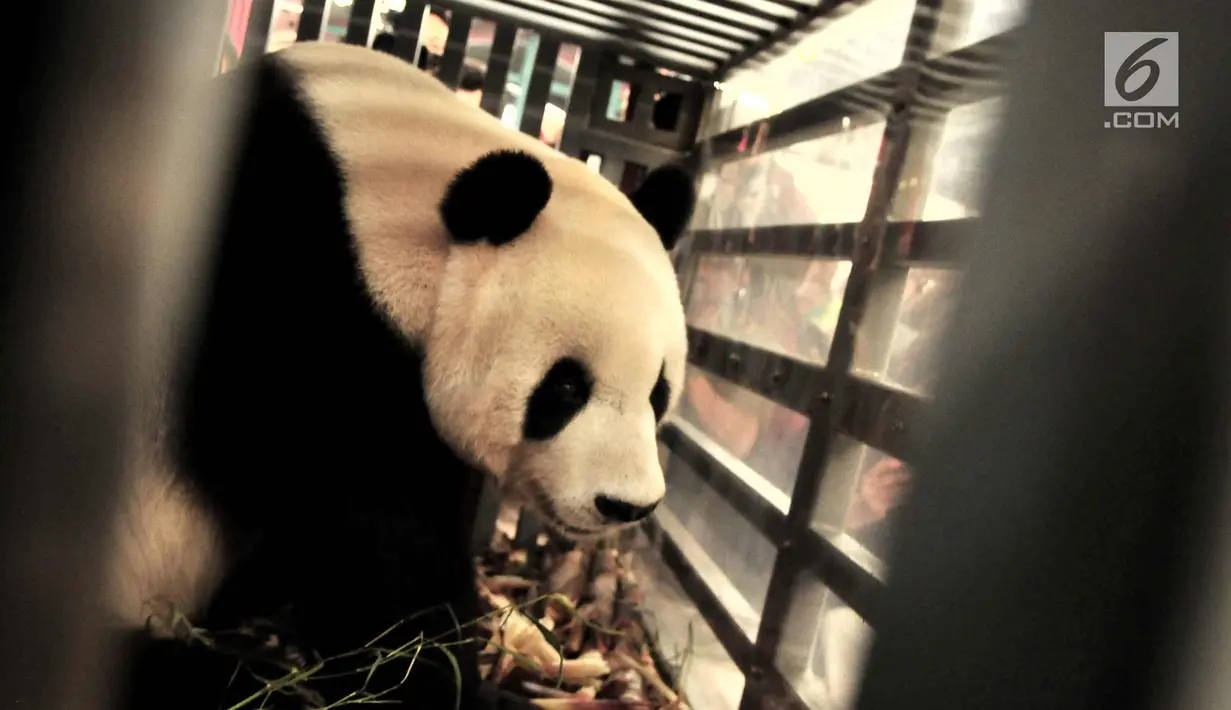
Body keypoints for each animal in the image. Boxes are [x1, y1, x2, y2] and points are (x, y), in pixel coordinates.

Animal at [106, 41, 694, 710]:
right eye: (566, 387)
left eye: (658, 392)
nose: (627, 505)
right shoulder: (282, 293)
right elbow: (365, 526)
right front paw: (440, 673)